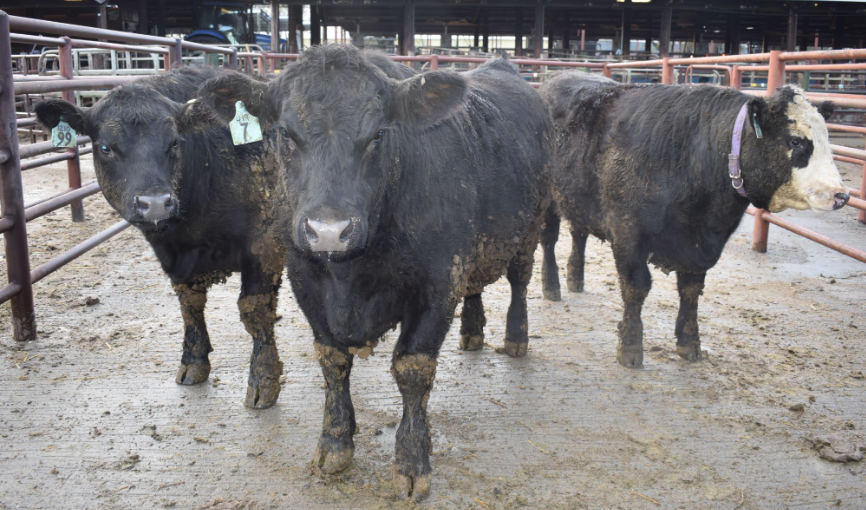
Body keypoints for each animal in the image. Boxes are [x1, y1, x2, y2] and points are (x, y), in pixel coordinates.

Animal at [34, 67, 287, 408]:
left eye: (175, 143)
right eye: (105, 147)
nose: (155, 202)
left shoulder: (264, 246)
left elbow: (255, 311)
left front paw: (263, 381)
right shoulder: (174, 257)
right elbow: (189, 306)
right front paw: (193, 362)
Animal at [198, 46, 551, 500]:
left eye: (379, 134)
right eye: (285, 134)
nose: (329, 231)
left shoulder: (438, 284)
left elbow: (413, 370)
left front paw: (412, 461)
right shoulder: (305, 280)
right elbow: (332, 361)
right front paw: (334, 443)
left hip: (532, 227)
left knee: (520, 282)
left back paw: (516, 338)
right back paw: (471, 334)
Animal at [539, 72, 850, 368]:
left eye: (827, 141)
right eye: (795, 140)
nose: (842, 195)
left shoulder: (701, 246)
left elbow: (690, 291)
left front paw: (689, 343)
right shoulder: (628, 233)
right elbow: (636, 288)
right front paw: (630, 347)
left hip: (578, 198)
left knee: (578, 234)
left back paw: (575, 279)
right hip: (548, 202)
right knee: (550, 241)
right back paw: (552, 286)